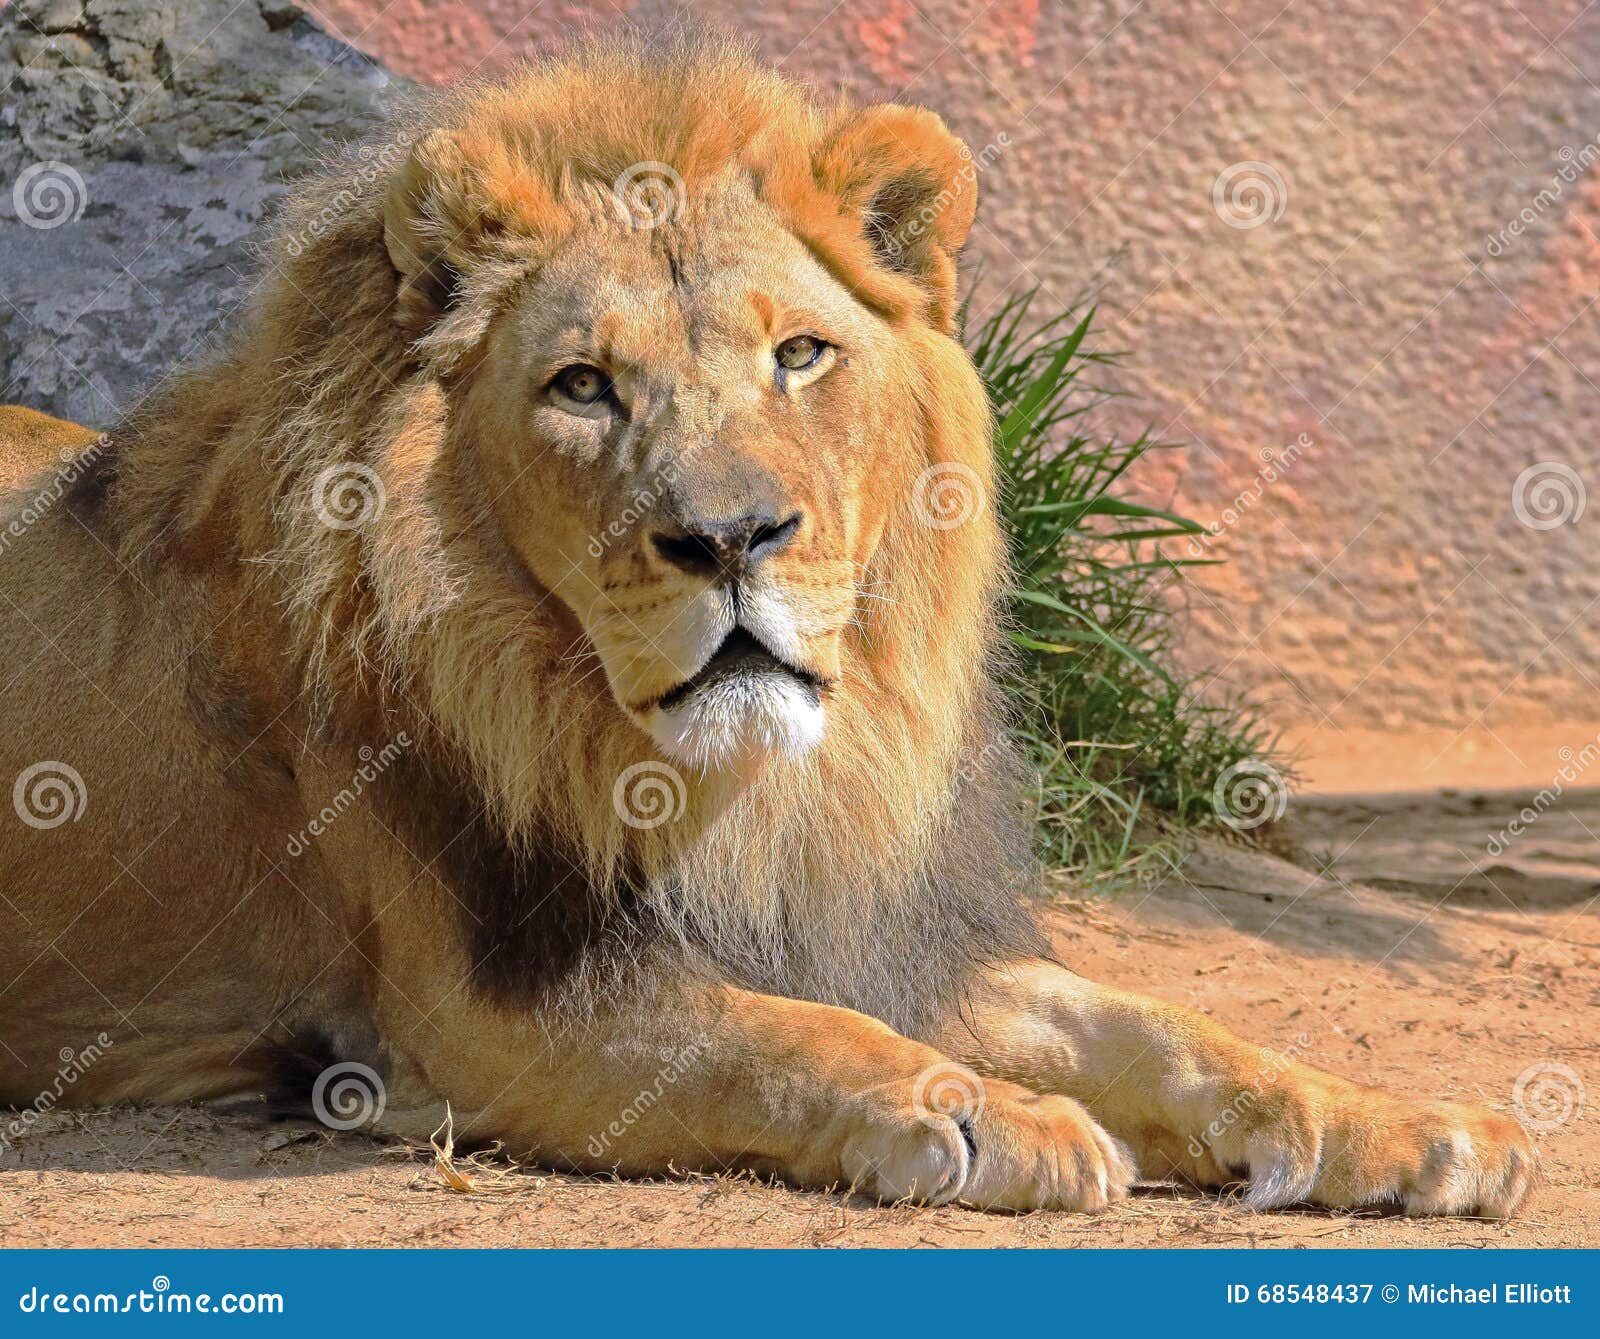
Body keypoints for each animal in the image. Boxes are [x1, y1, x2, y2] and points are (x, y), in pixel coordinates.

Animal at [0, 33, 1534, 1217]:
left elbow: (1166, 1027)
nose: (732, 540)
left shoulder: (878, 924)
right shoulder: (485, 1010)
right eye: (582, 385)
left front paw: (1409, 1123)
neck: (749, 781)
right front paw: (990, 1113)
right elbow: (778, 1036)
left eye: (799, 353)